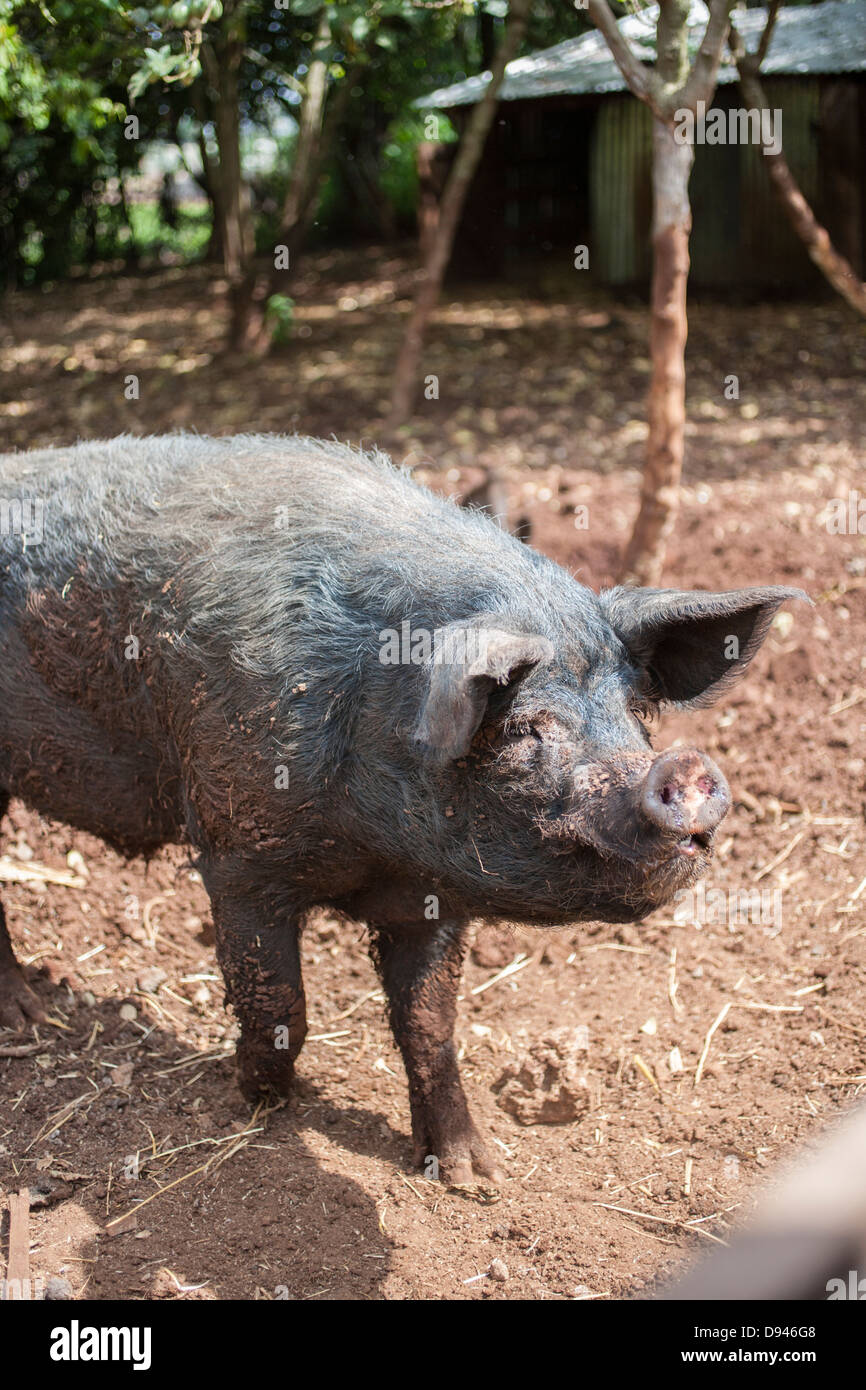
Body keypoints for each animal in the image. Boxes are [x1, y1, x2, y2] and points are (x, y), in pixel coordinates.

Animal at [0, 435, 806, 1184]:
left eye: (638, 713)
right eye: (521, 729)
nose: (685, 770)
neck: (374, 845)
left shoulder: (433, 896)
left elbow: (431, 1025)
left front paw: (475, 1176)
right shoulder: (237, 854)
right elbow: (279, 1002)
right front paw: (257, 1100)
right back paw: (29, 1019)